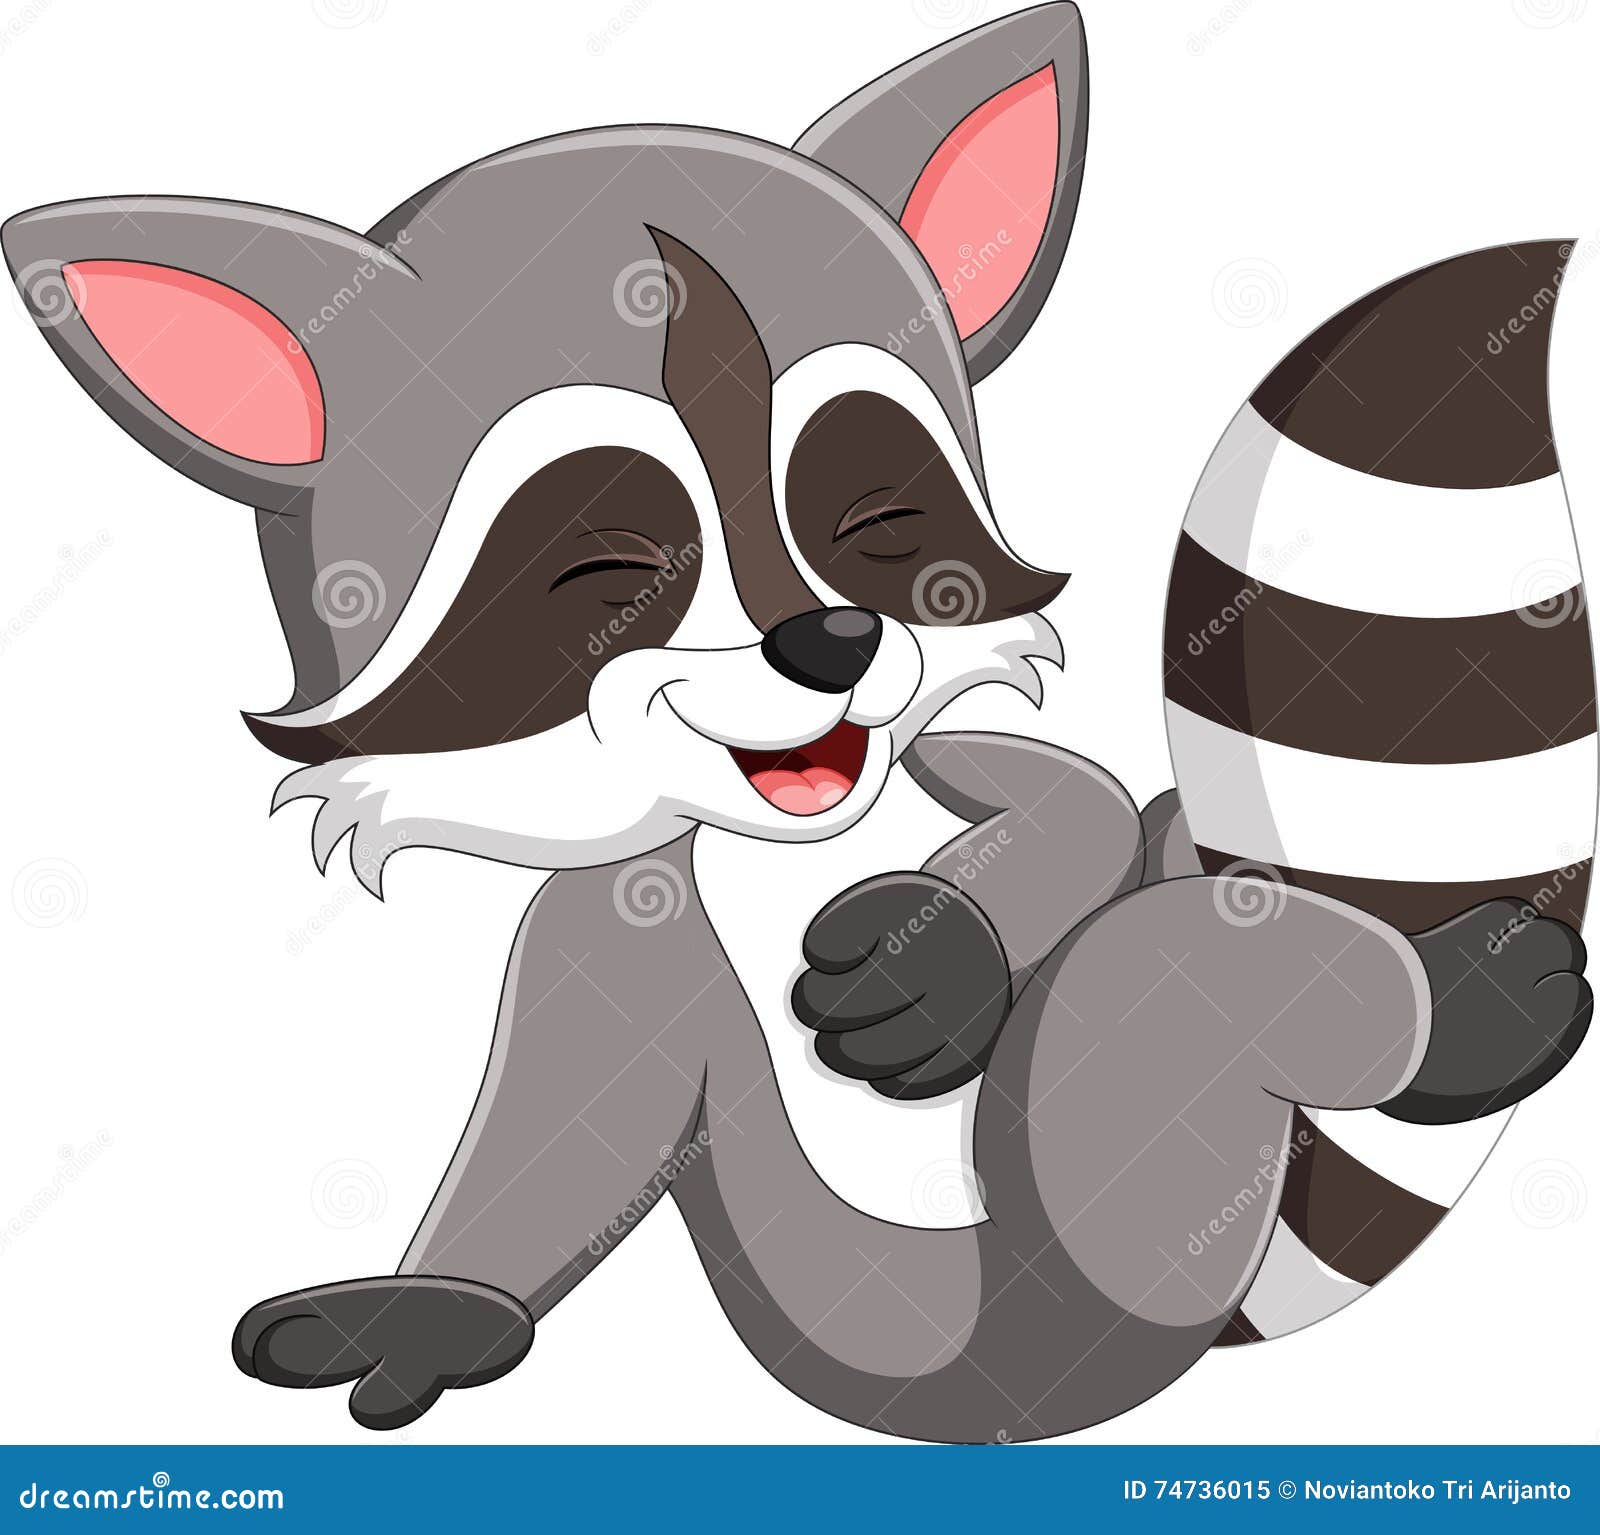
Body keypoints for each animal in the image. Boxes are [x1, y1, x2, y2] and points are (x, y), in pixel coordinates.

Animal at [5, 3, 1588, 1441]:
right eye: (613, 571)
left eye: (872, 522)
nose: (829, 638)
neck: (786, 838)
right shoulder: (616, 924)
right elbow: (577, 1112)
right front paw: (434, 1306)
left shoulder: (933, 759)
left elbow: (1060, 806)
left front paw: (932, 955)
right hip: (1109, 1230)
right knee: (1185, 958)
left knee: (1179, 901)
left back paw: (1456, 1005)